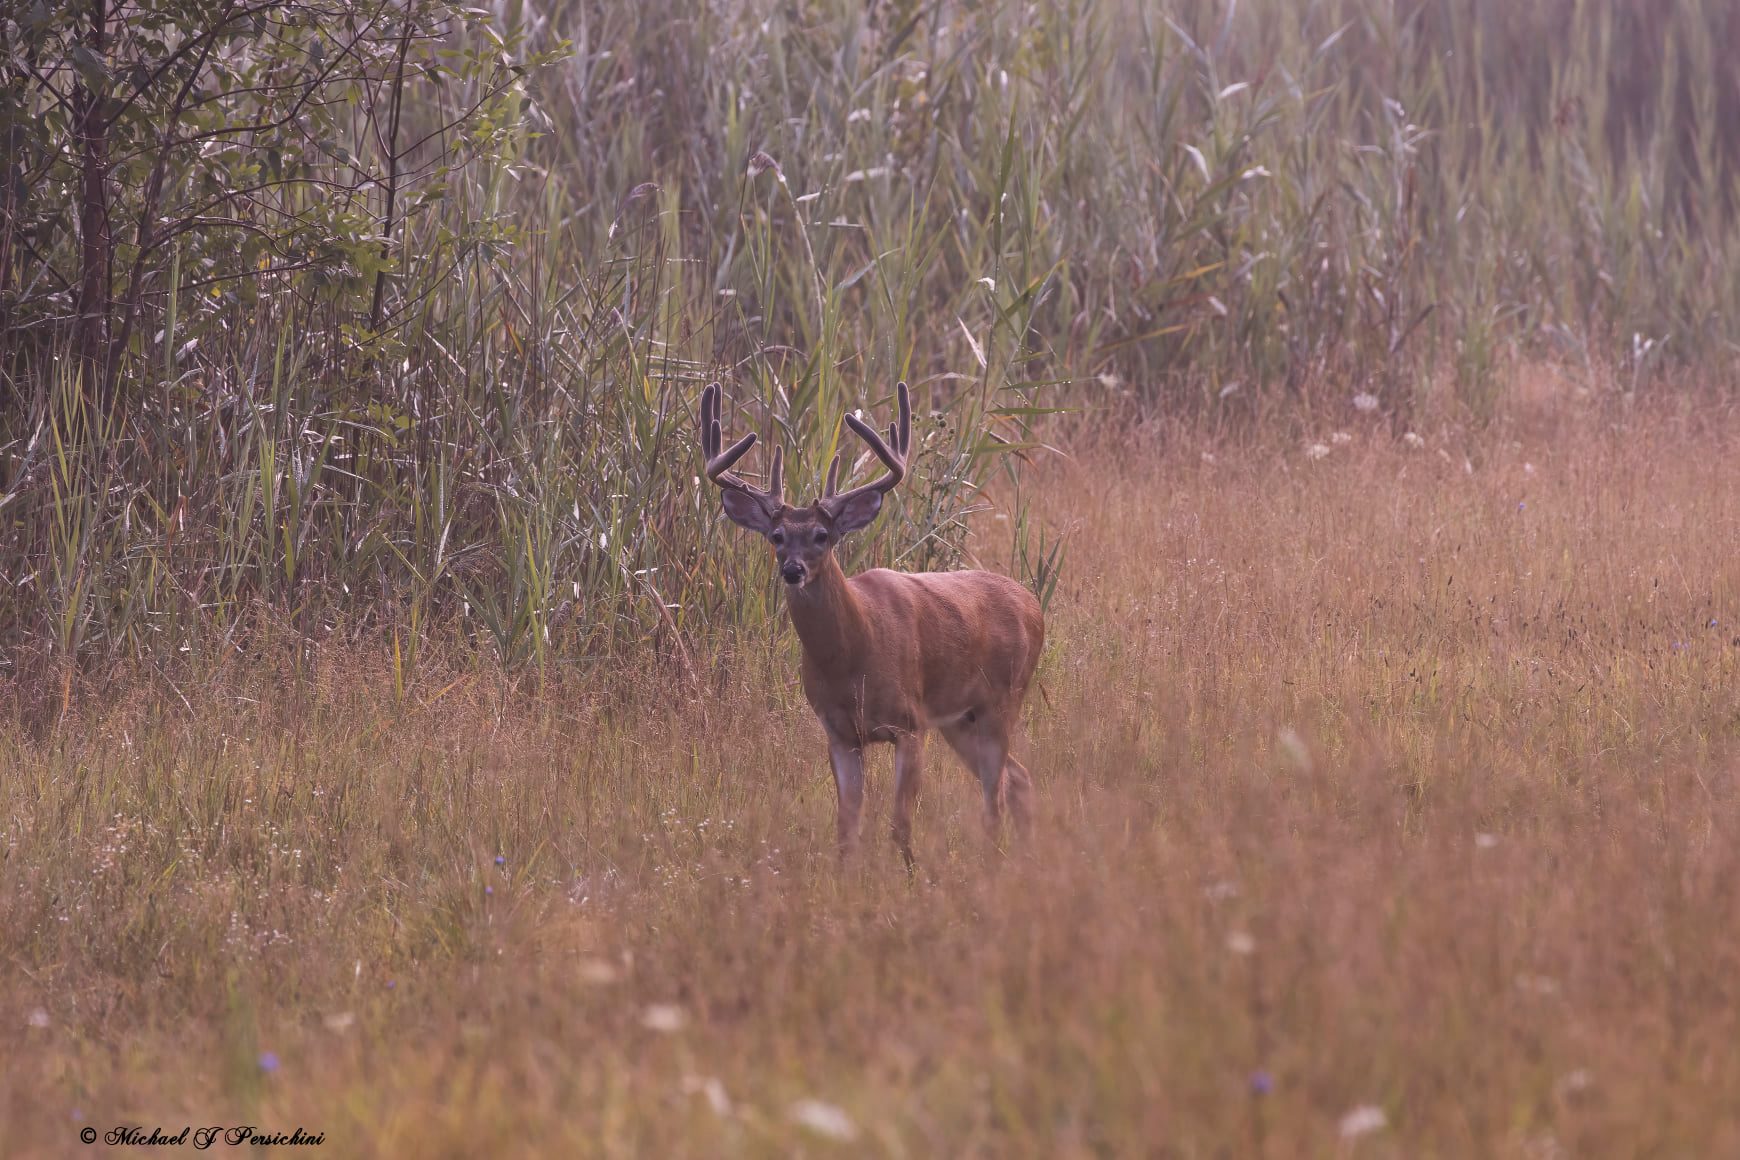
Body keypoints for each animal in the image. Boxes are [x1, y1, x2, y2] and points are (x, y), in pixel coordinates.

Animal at [699, 380, 1045, 869]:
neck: (852, 661)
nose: (793, 570)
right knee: (1018, 779)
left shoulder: (911, 723)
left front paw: (910, 876)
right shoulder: (840, 734)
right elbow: (847, 828)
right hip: (961, 720)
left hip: (1003, 701)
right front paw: (846, 878)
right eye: (777, 536)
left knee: (994, 797)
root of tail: (1034, 604)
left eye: (822, 536)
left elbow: (900, 824)